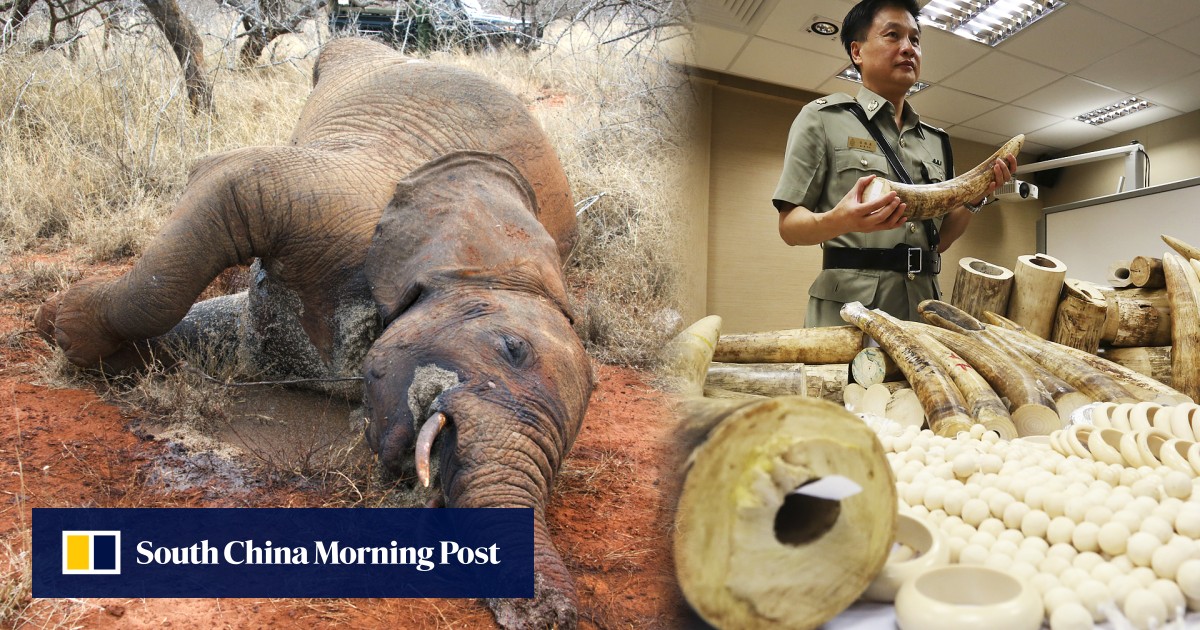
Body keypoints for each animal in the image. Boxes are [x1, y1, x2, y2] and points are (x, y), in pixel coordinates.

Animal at [35, 37, 594, 629]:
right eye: (513, 350)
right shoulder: (347, 211)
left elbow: (214, 332)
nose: (551, 616)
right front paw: (62, 328)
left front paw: (84, 339)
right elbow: (227, 190)